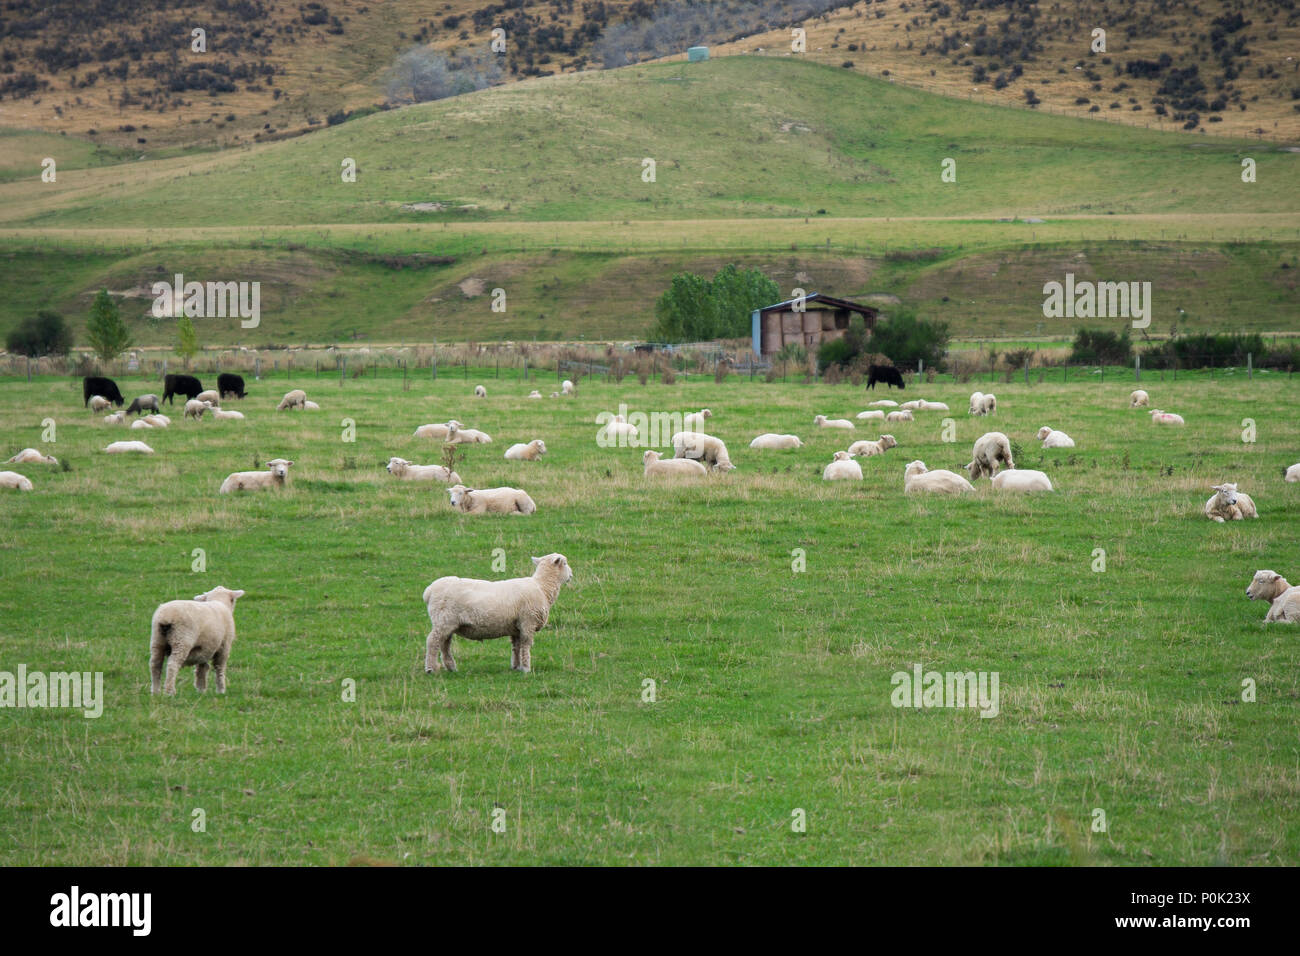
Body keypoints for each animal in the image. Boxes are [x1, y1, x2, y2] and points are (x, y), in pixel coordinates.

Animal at [422, 553, 572, 673]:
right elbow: (525, 646)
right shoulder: (527, 622)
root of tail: (429, 591)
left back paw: (451, 668)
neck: (542, 587)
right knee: (432, 641)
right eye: (565, 563)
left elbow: (516, 647)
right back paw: (430, 669)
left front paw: (516, 667)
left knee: (444, 644)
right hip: (443, 621)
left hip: (447, 623)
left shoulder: (516, 627)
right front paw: (526, 668)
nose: (571, 575)